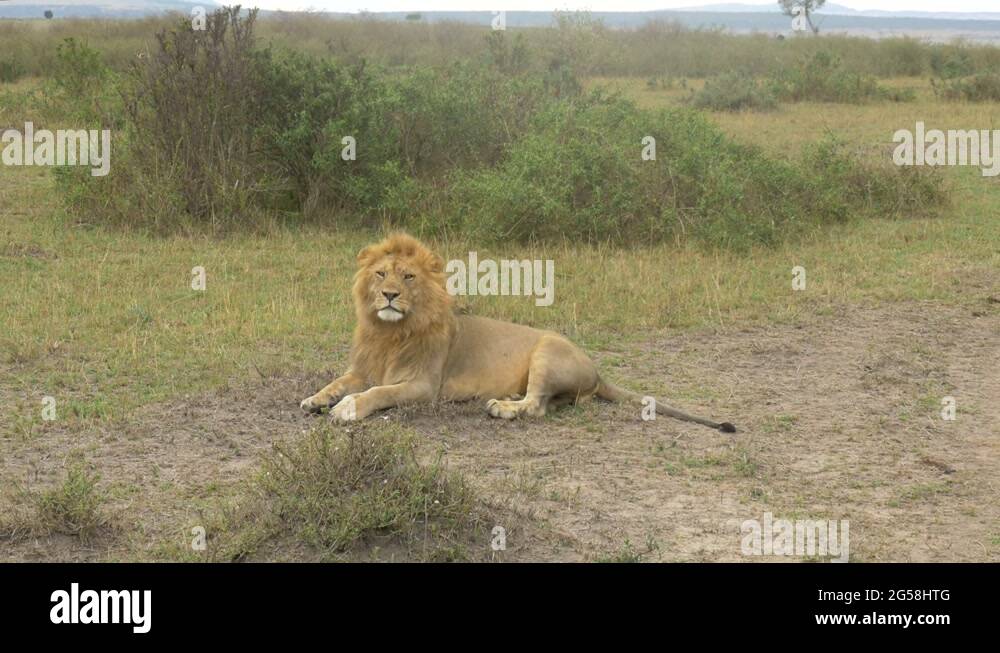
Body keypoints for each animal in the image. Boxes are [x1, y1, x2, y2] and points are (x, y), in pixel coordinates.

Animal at [300, 233, 736, 432]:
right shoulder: (362, 367)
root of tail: (597, 370)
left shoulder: (423, 385)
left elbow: (377, 392)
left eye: (407, 277)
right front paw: (315, 399)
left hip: (547, 352)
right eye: (380, 274)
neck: (389, 333)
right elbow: (339, 381)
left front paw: (347, 408)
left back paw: (502, 407)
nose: (389, 295)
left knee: (538, 406)